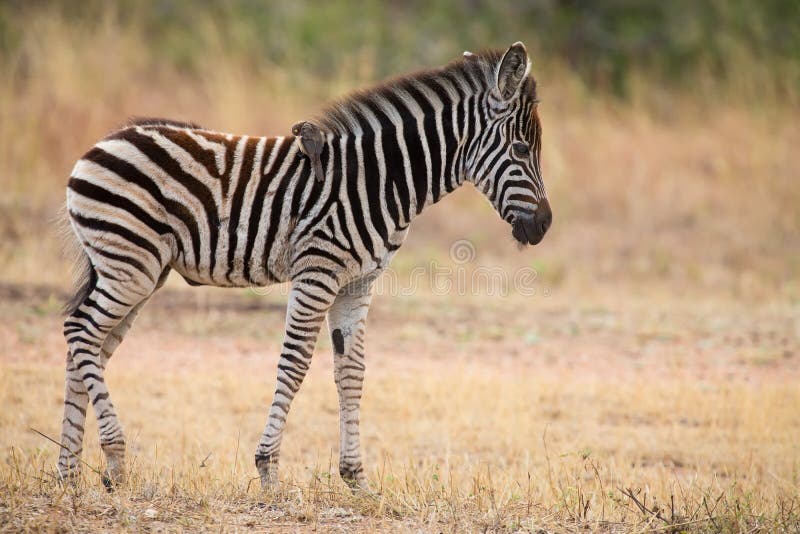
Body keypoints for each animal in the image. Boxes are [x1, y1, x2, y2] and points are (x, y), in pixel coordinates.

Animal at [57, 41, 552, 490]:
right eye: (520, 149)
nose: (544, 225)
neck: (381, 180)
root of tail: (101, 143)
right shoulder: (318, 272)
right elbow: (294, 365)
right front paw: (268, 470)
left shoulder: (358, 283)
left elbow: (351, 373)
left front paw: (356, 479)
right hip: (130, 265)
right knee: (81, 332)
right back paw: (115, 458)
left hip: (139, 271)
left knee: (91, 347)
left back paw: (68, 473)